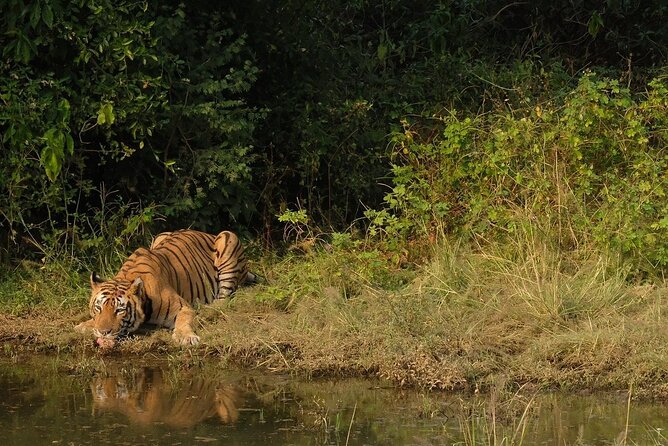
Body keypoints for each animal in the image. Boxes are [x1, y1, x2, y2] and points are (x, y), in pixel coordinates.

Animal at [75, 229, 256, 346]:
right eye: (98, 307)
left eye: (119, 310)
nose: (103, 332)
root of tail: (207, 233)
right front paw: (84, 325)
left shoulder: (183, 307)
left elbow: (183, 321)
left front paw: (187, 338)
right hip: (159, 236)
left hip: (228, 238)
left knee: (224, 298)